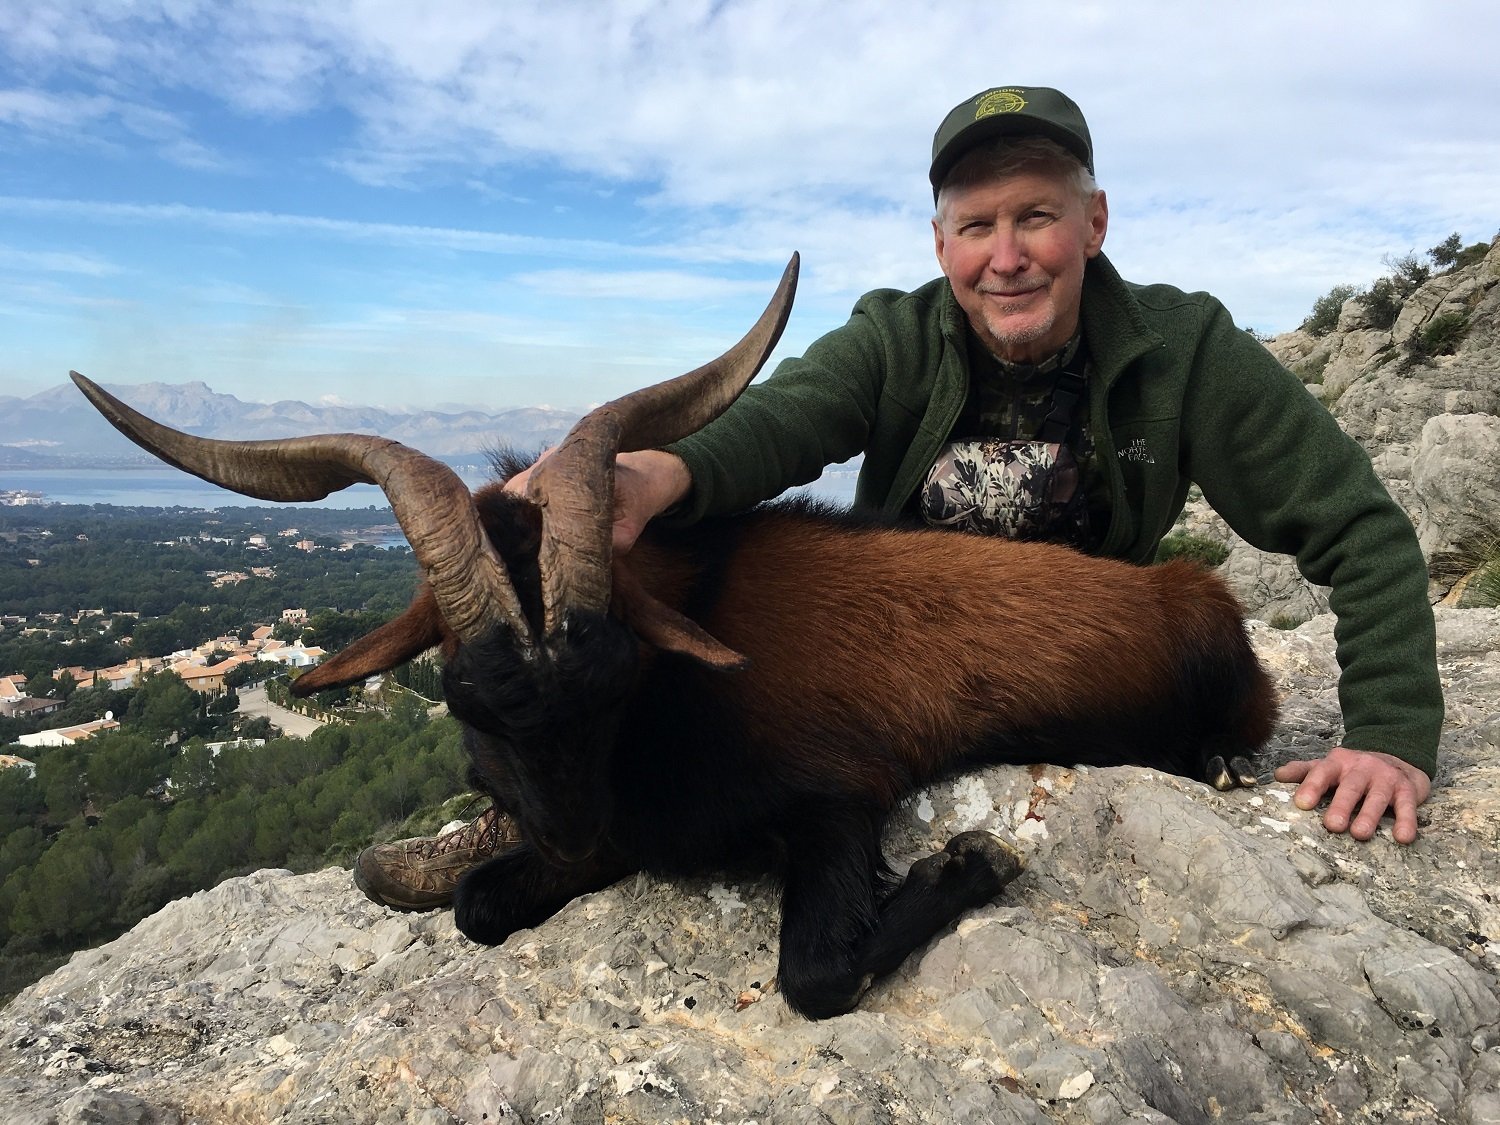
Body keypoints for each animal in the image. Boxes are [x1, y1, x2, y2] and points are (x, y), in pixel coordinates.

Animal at [71, 253, 1276, 1019]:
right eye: (465, 698)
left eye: (616, 681)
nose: (572, 841)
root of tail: (1197, 595)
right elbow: (474, 904)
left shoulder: (839, 791)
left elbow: (814, 976)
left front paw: (974, 858)